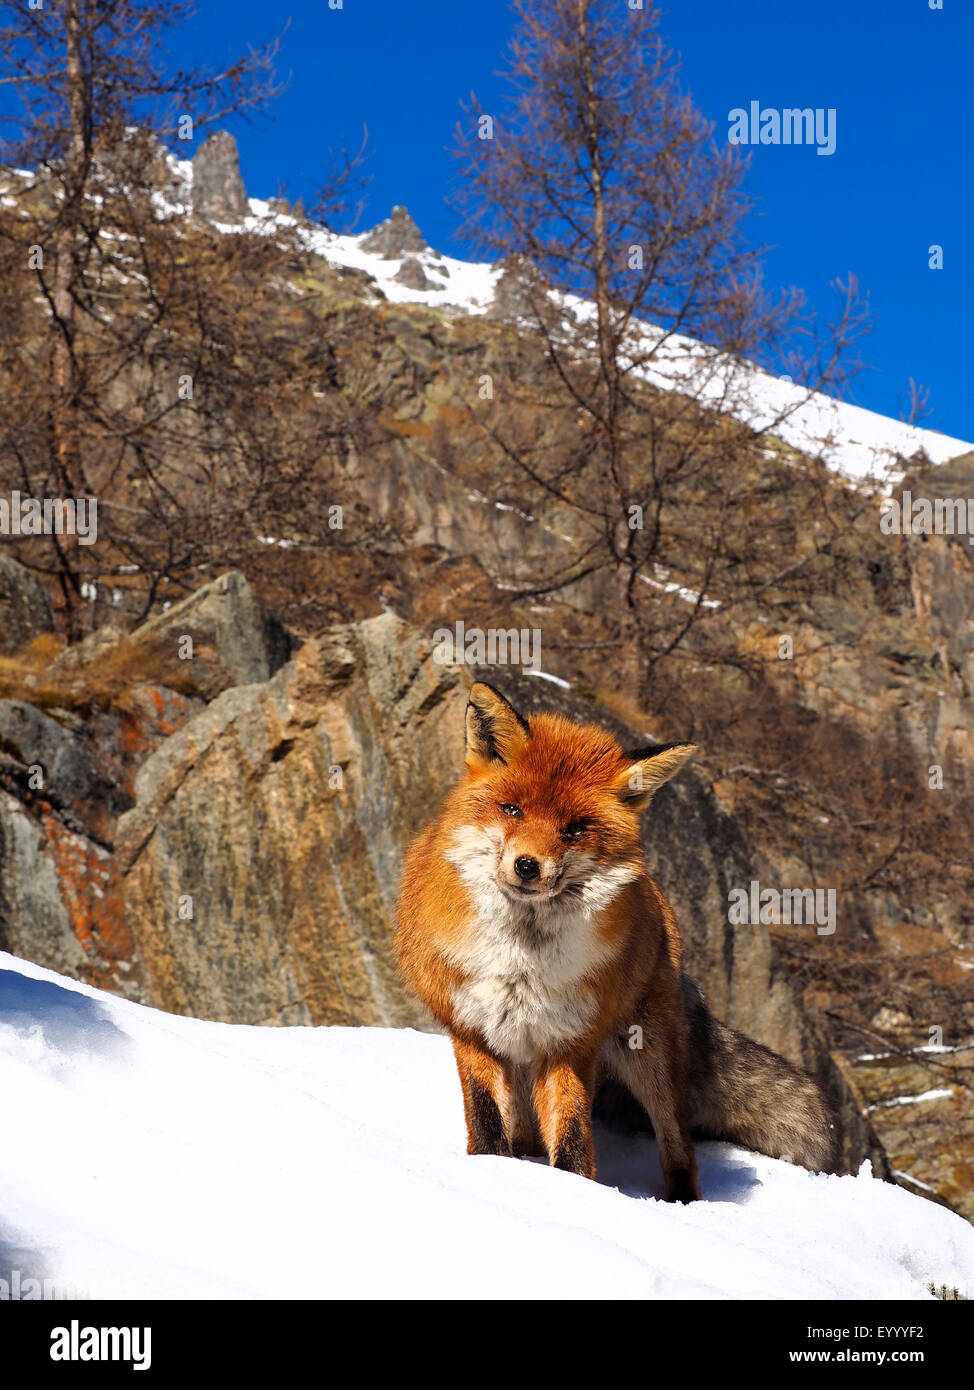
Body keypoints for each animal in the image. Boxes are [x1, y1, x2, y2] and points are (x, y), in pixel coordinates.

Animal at [395, 682, 835, 1202]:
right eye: (512, 809)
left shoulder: (569, 1041)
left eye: (575, 828)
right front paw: (495, 1171)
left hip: (647, 1053)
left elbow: (572, 1136)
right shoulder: (472, 1029)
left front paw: (574, 1192)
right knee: (526, 1132)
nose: (527, 866)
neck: (521, 960)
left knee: (677, 1143)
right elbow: (486, 1122)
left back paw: (683, 1203)